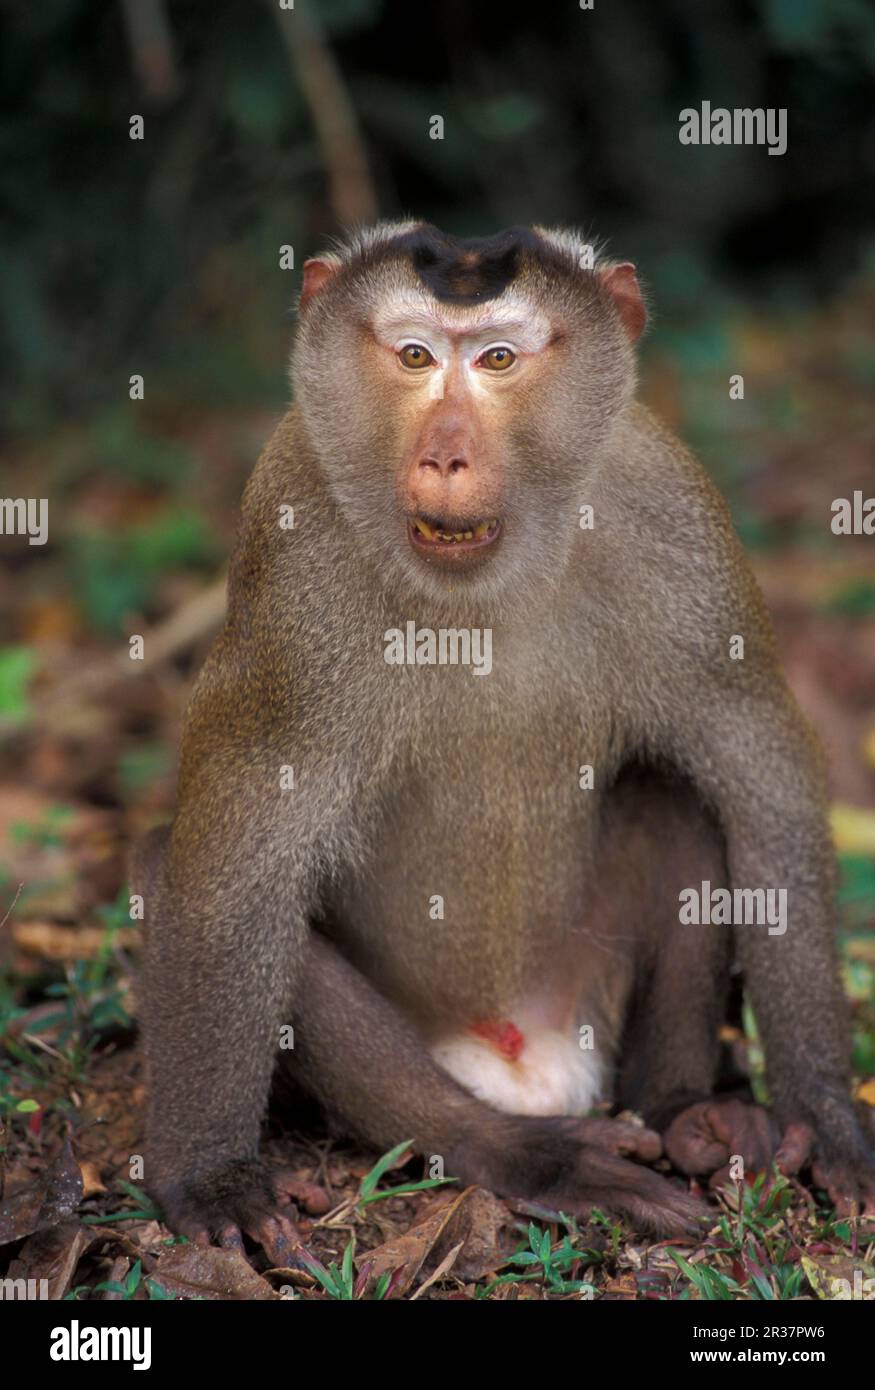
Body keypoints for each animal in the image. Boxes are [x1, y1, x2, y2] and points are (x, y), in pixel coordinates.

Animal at [134, 221, 875, 1260]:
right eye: (413, 356)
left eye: (496, 360)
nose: (446, 457)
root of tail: (521, 1058)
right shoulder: (290, 554)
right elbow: (234, 870)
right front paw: (210, 1176)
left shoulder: (671, 514)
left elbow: (759, 772)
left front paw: (824, 1109)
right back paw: (523, 1154)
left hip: (584, 987)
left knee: (672, 791)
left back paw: (685, 1114)